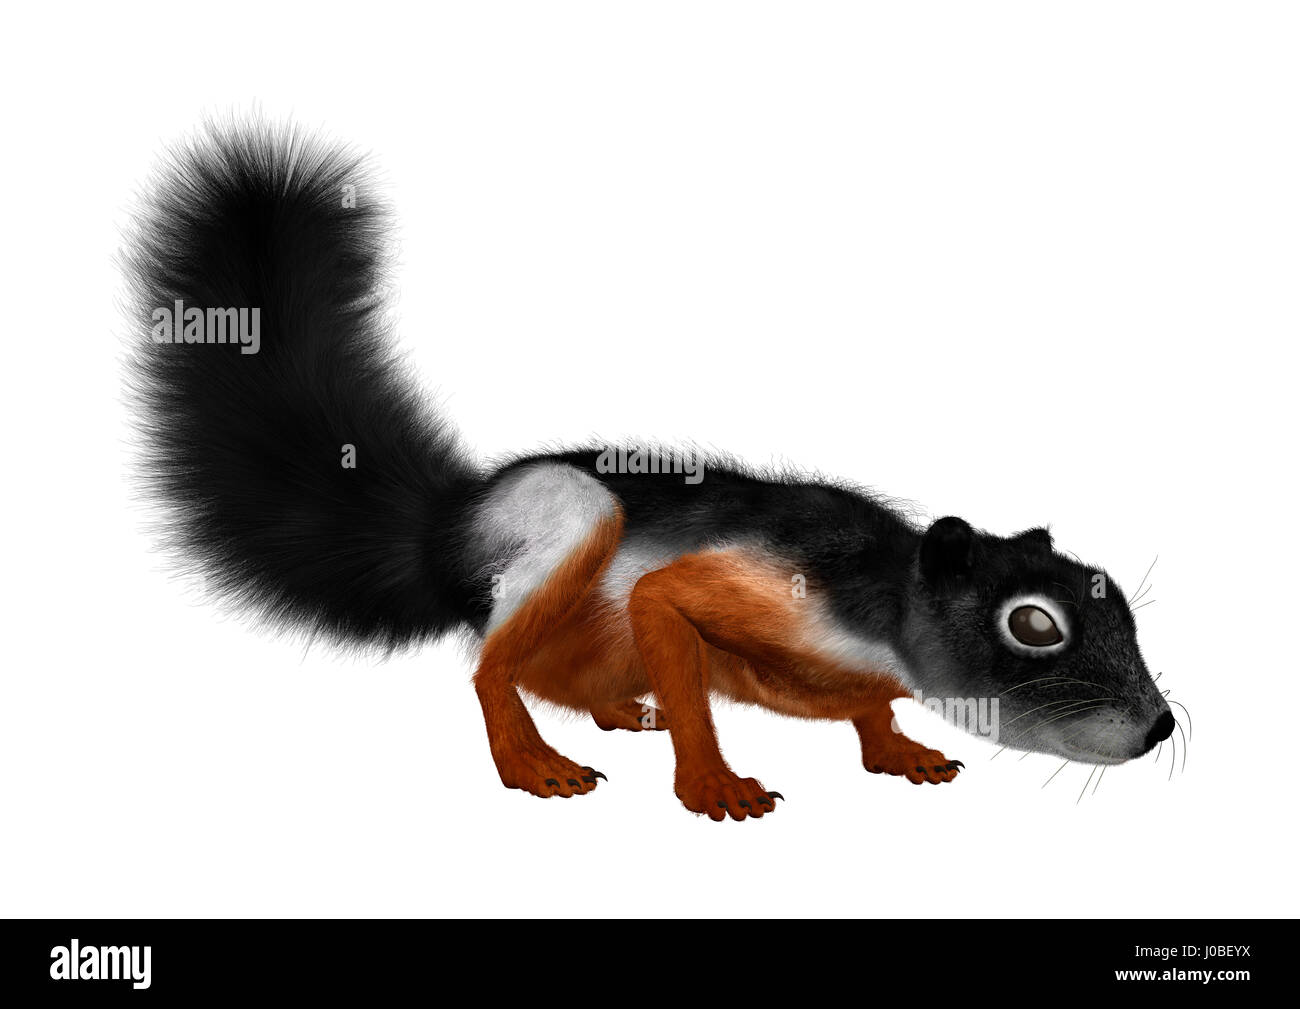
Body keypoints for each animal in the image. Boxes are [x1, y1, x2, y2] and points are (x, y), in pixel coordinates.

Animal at [125, 121, 1174, 821]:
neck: (886, 604)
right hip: (564, 514)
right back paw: (533, 756)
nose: (1161, 727)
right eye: (1032, 624)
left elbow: (859, 707)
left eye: (1116, 598)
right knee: (492, 666)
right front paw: (713, 783)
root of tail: (445, 530)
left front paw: (896, 746)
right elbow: (666, 604)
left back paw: (619, 710)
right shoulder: (749, 586)